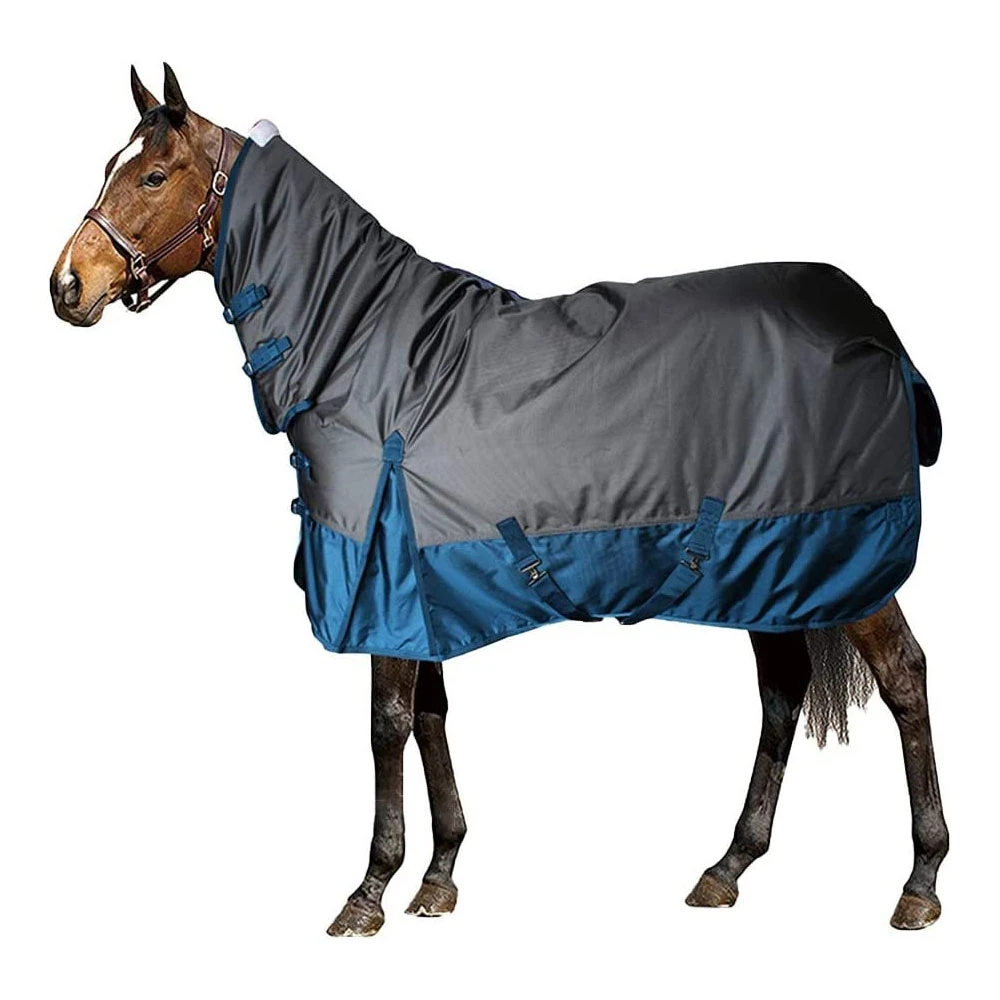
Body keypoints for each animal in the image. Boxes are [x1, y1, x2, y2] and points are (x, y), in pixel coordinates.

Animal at [50, 64, 949, 935]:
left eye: (153, 174)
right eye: (107, 167)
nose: (66, 285)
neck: (367, 353)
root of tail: (872, 322)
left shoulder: (380, 581)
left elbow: (387, 724)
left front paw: (369, 891)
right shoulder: (418, 585)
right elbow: (430, 716)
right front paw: (439, 876)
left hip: (839, 560)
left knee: (903, 677)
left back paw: (921, 882)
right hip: (774, 565)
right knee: (782, 691)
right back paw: (727, 867)